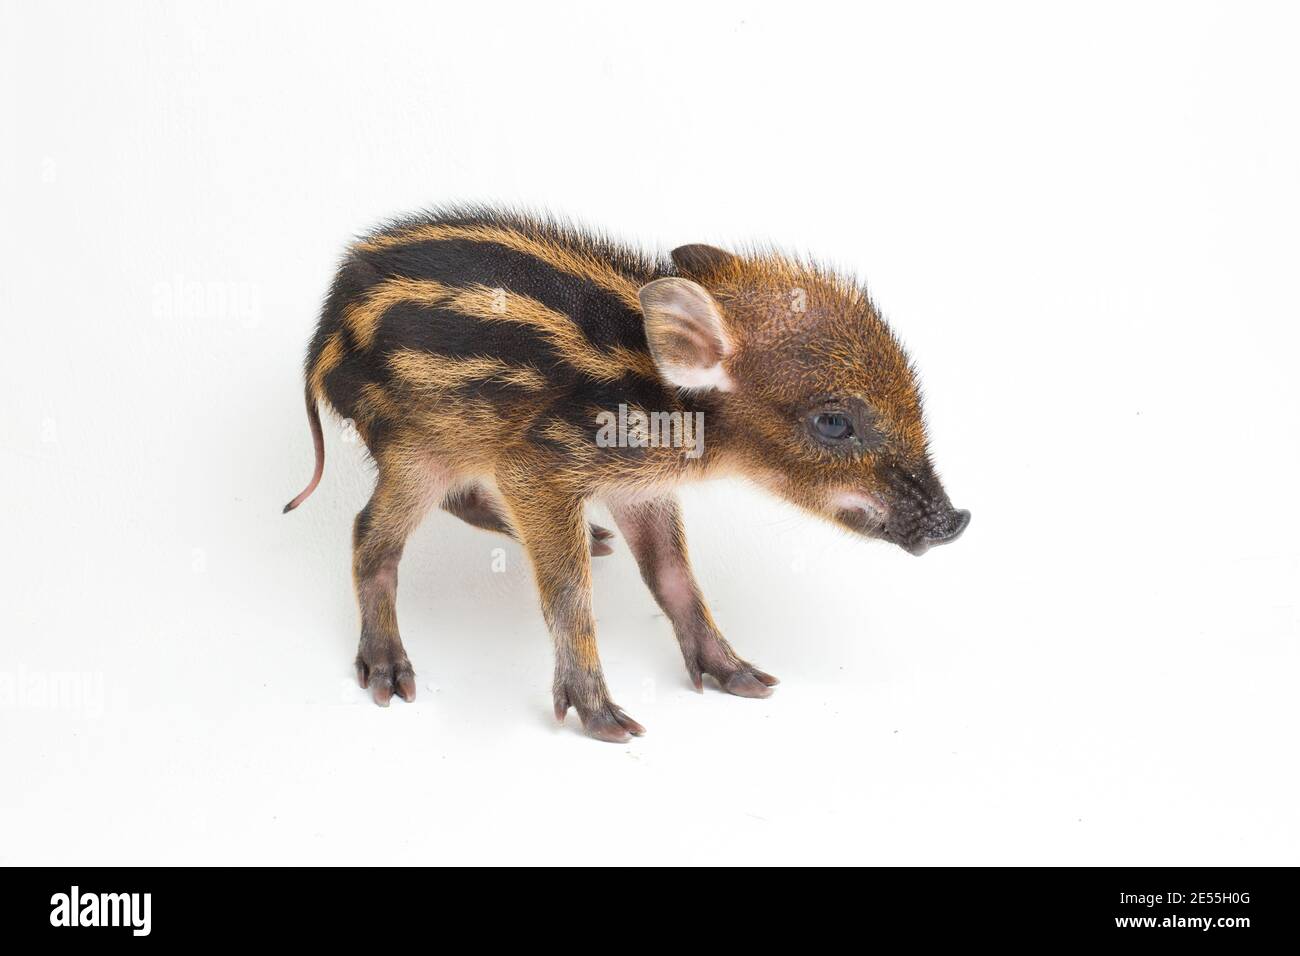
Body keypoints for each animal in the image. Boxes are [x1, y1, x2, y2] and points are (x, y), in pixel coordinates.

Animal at [285, 207, 969, 742]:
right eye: (833, 422)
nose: (956, 520)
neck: (669, 401)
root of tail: (323, 335)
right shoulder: (541, 465)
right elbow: (569, 595)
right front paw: (605, 718)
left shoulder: (639, 489)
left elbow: (673, 577)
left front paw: (744, 678)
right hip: (416, 448)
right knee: (370, 536)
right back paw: (387, 673)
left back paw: (595, 538)